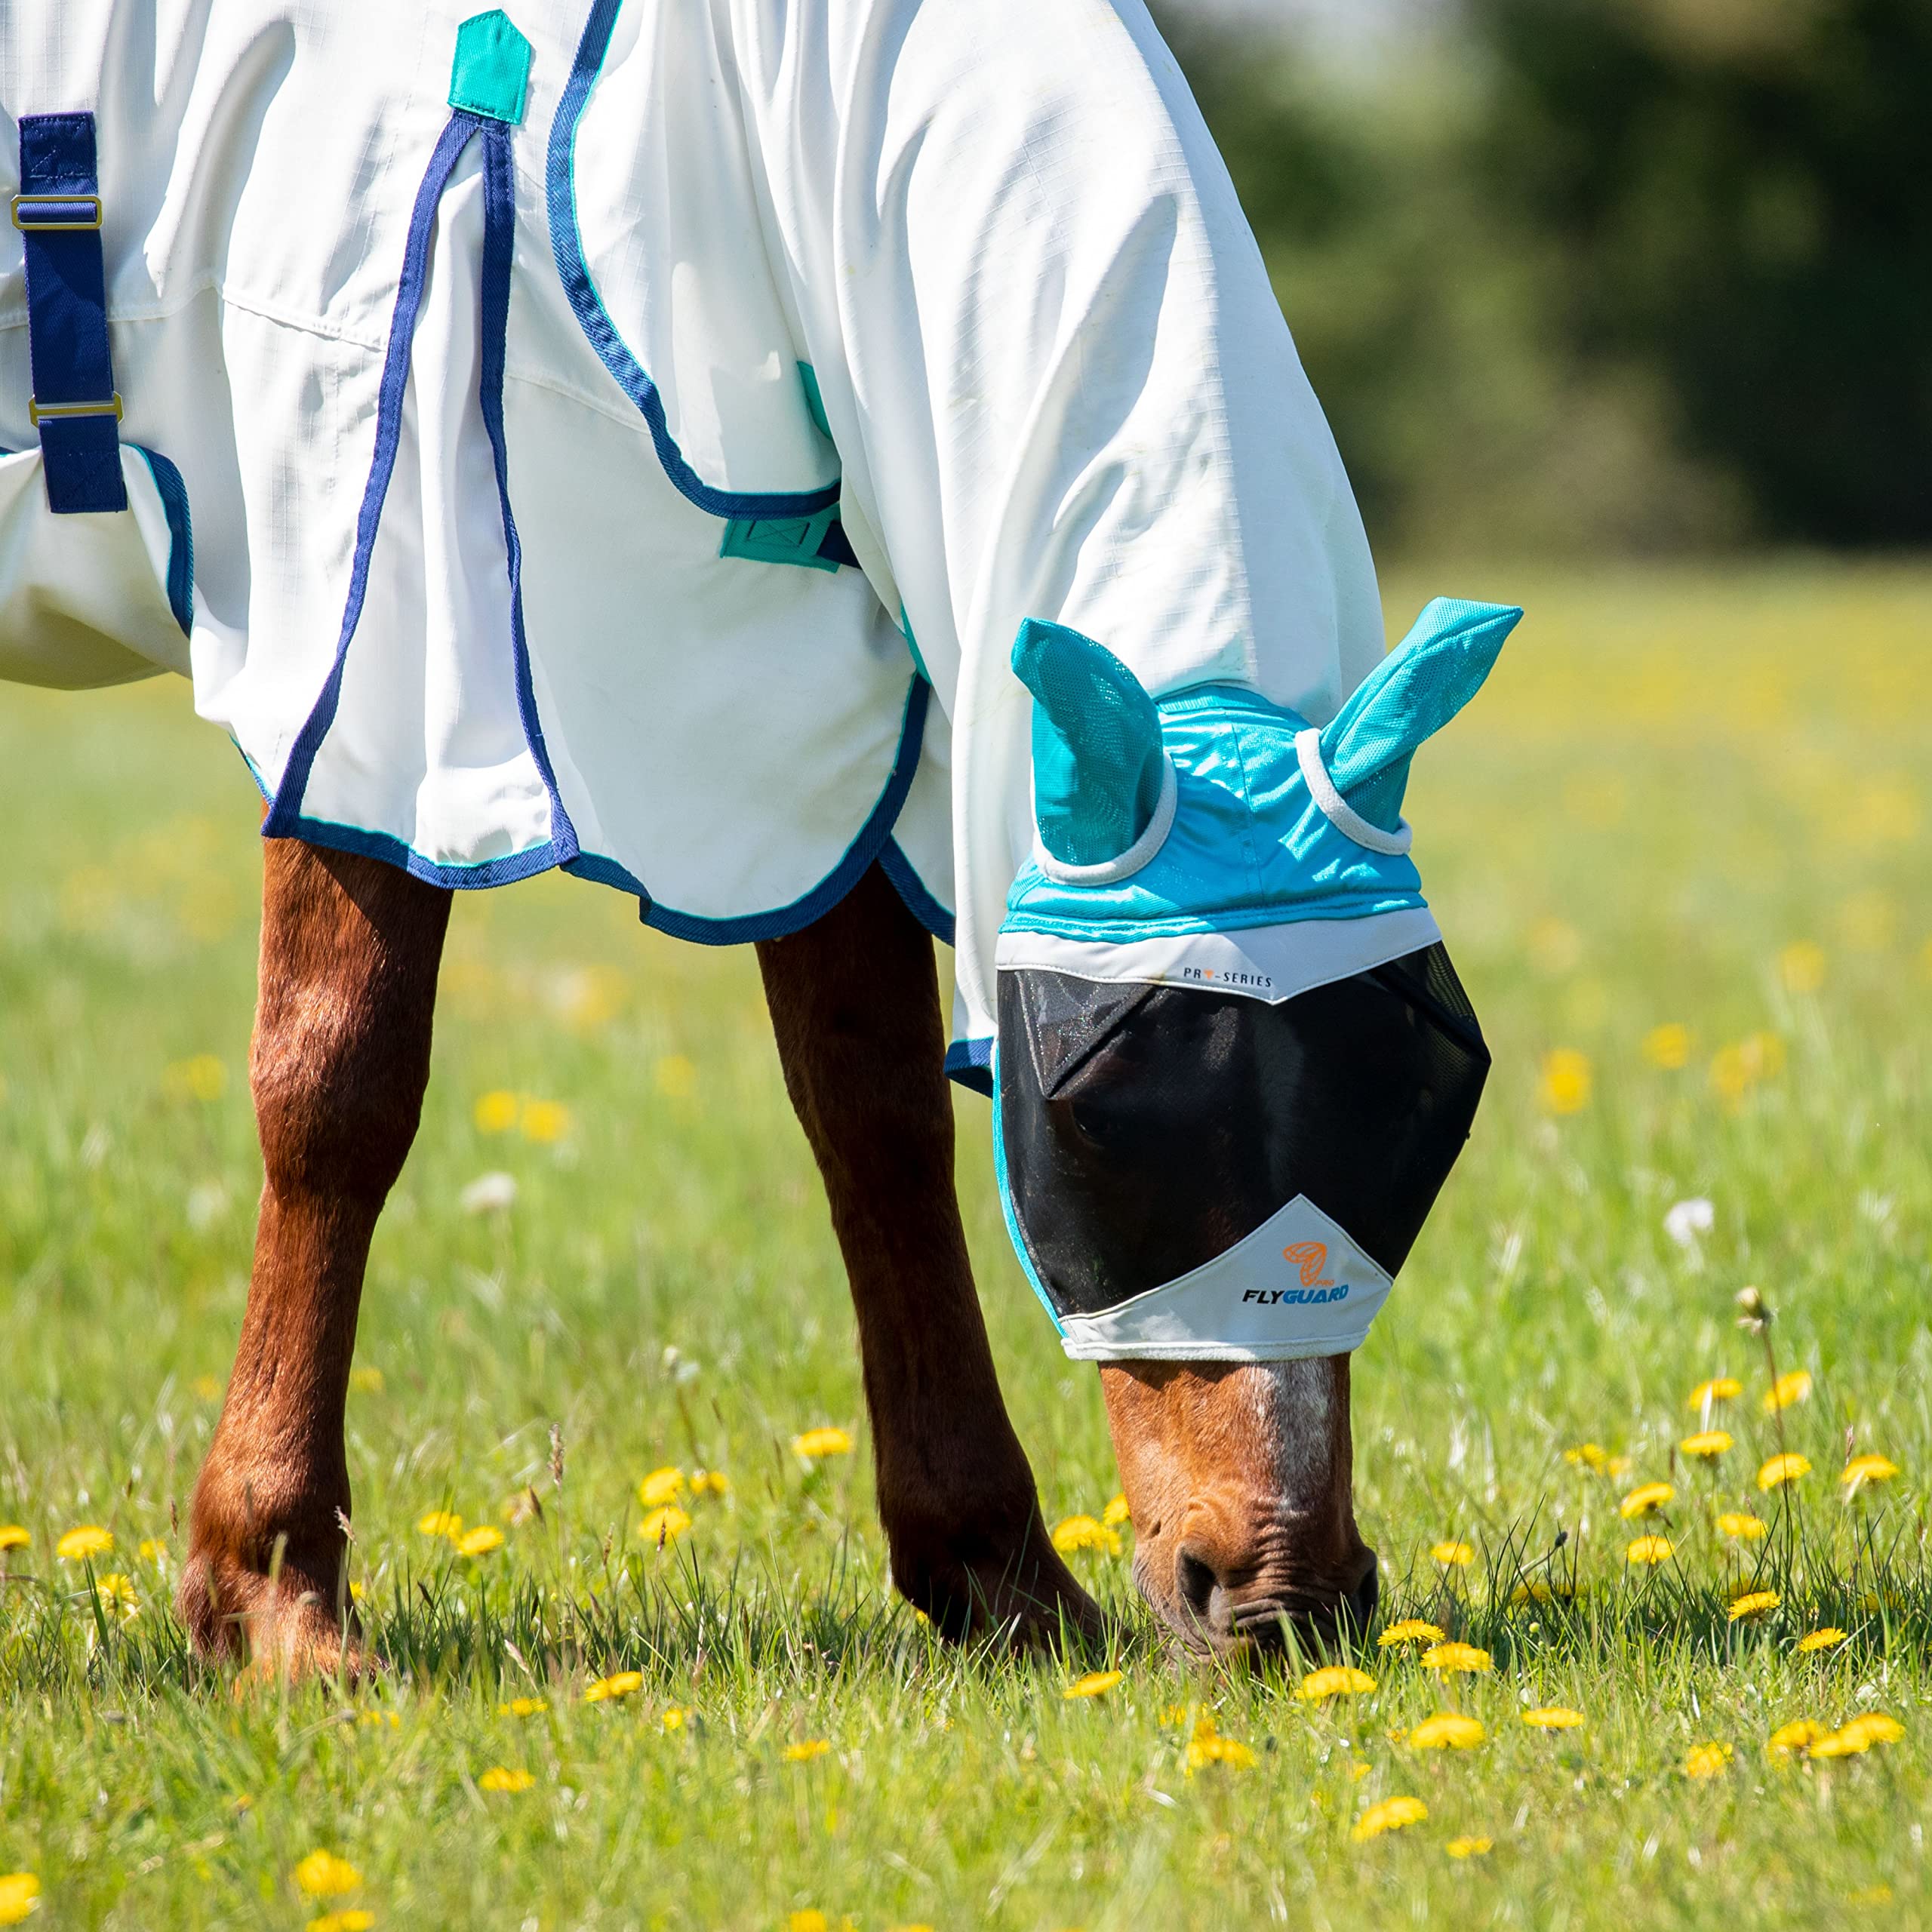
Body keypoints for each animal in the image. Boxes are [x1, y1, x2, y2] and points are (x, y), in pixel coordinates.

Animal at [0, 0, 1506, 1677]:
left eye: (1426, 1105)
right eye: (1098, 1115)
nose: (1282, 1597)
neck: (726, 119)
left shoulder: (810, 708)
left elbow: (876, 1119)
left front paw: (995, 1573)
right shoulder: (380, 654)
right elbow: (339, 1086)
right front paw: (273, 1594)